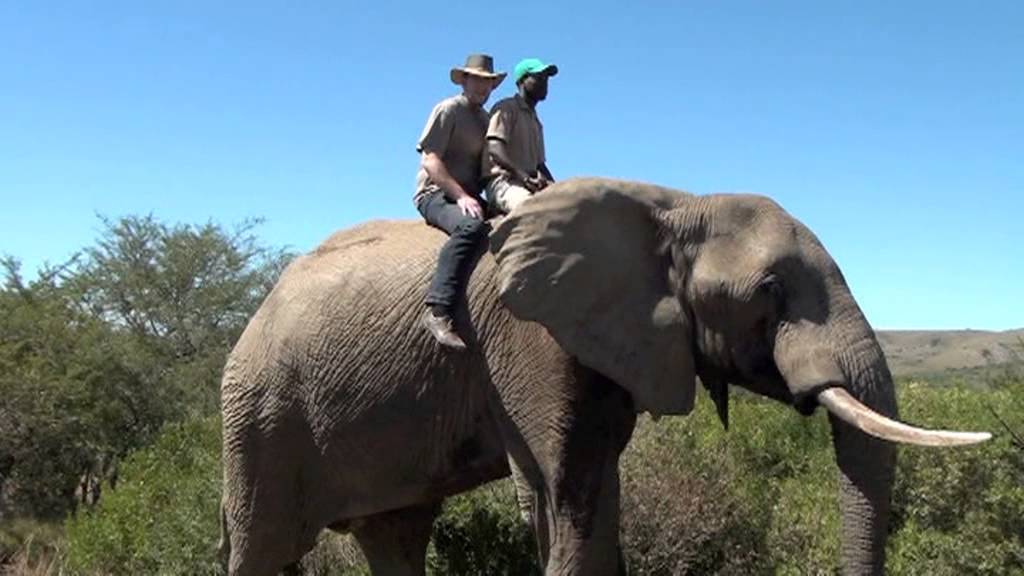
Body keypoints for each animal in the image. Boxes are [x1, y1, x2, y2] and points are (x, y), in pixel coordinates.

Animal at [219, 177, 989, 576]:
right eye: (770, 291)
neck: (670, 204)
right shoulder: (525, 335)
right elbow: (564, 494)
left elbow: (596, 489)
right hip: (261, 411)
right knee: (264, 543)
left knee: (395, 534)